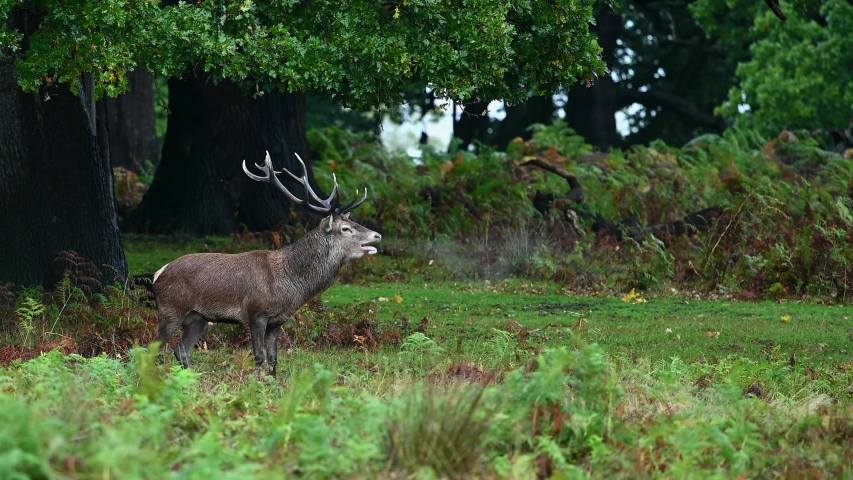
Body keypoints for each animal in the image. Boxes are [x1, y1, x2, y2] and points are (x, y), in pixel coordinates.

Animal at [152, 151, 381, 377]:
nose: (377, 235)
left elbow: (273, 358)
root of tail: (158, 273)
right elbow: (259, 356)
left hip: (197, 317)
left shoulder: (277, 321)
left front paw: (272, 382)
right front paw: (255, 383)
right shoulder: (256, 313)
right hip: (171, 308)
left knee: (181, 350)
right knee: (152, 348)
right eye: (345, 229)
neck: (291, 284)